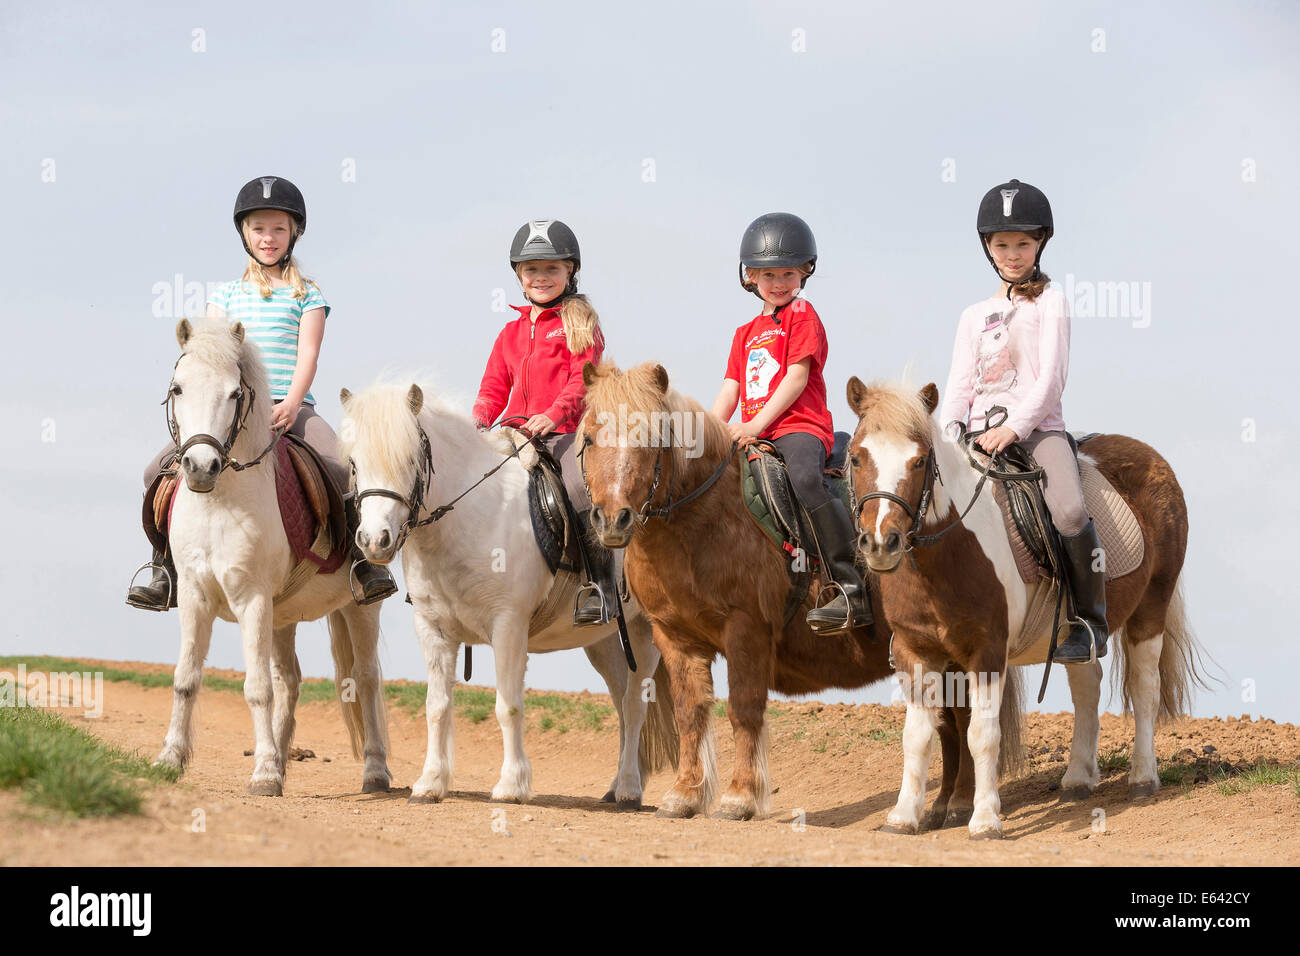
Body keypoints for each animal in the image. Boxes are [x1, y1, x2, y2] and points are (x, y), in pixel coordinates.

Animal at [154, 318, 392, 796]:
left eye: (233, 393)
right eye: (178, 389)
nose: (200, 467)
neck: (220, 501)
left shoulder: (252, 599)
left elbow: (256, 687)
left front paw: (262, 775)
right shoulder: (193, 597)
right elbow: (185, 678)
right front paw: (170, 760)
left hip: (359, 608)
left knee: (365, 679)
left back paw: (374, 772)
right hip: (282, 617)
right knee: (291, 682)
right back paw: (282, 761)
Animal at [339, 381, 678, 808]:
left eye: (409, 460)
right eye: (354, 462)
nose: (374, 540)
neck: (467, 519)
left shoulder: (508, 626)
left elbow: (508, 706)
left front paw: (511, 785)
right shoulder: (432, 629)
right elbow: (436, 706)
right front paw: (430, 783)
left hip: (644, 631)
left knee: (634, 704)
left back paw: (630, 790)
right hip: (601, 641)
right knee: (620, 698)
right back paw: (616, 785)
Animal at [578, 360, 1022, 822]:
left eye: (651, 438)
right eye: (589, 438)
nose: (613, 518)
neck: (704, 518)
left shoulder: (746, 629)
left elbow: (744, 710)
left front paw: (739, 797)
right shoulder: (674, 636)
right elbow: (690, 712)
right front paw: (684, 794)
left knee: (962, 718)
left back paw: (960, 803)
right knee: (951, 721)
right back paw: (943, 805)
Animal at [845, 377, 1208, 838]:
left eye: (920, 460)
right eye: (856, 457)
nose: (881, 542)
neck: (950, 549)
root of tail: (1151, 457)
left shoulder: (986, 652)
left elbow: (982, 734)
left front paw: (985, 820)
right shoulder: (917, 652)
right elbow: (917, 736)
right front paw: (903, 816)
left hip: (1151, 607)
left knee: (1145, 689)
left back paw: (1143, 778)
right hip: (1074, 633)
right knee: (1087, 687)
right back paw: (1077, 779)